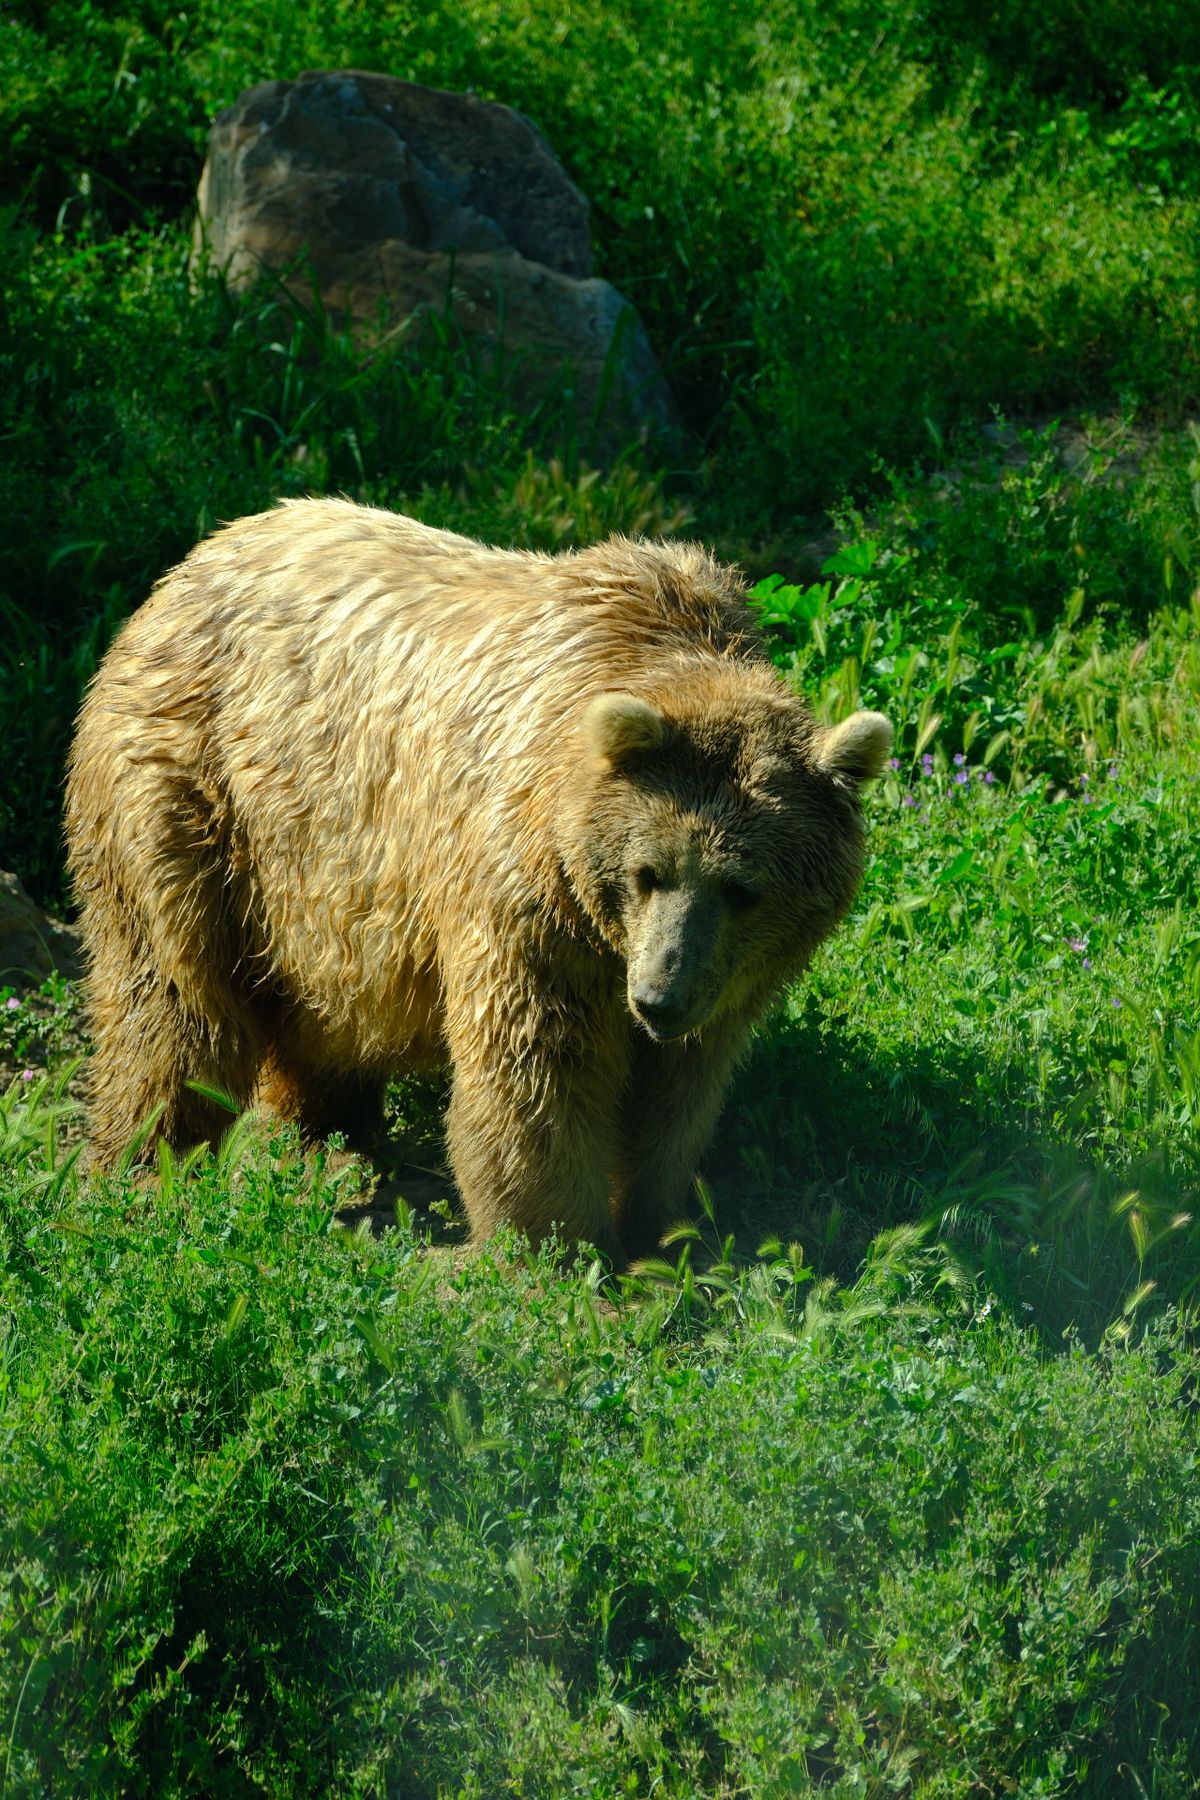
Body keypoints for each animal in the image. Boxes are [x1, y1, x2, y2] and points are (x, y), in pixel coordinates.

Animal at [65, 500, 891, 1263]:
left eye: (742, 889)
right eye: (648, 872)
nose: (660, 996)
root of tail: (189, 564)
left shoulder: (717, 978)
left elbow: (676, 1093)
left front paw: (658, 1228)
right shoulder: (530, 893)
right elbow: (537, 1065)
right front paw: (553, 1245)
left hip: (314, 891)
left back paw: (325, 1138)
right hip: (196, 802)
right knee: (173, 1004)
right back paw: (148, 1167)